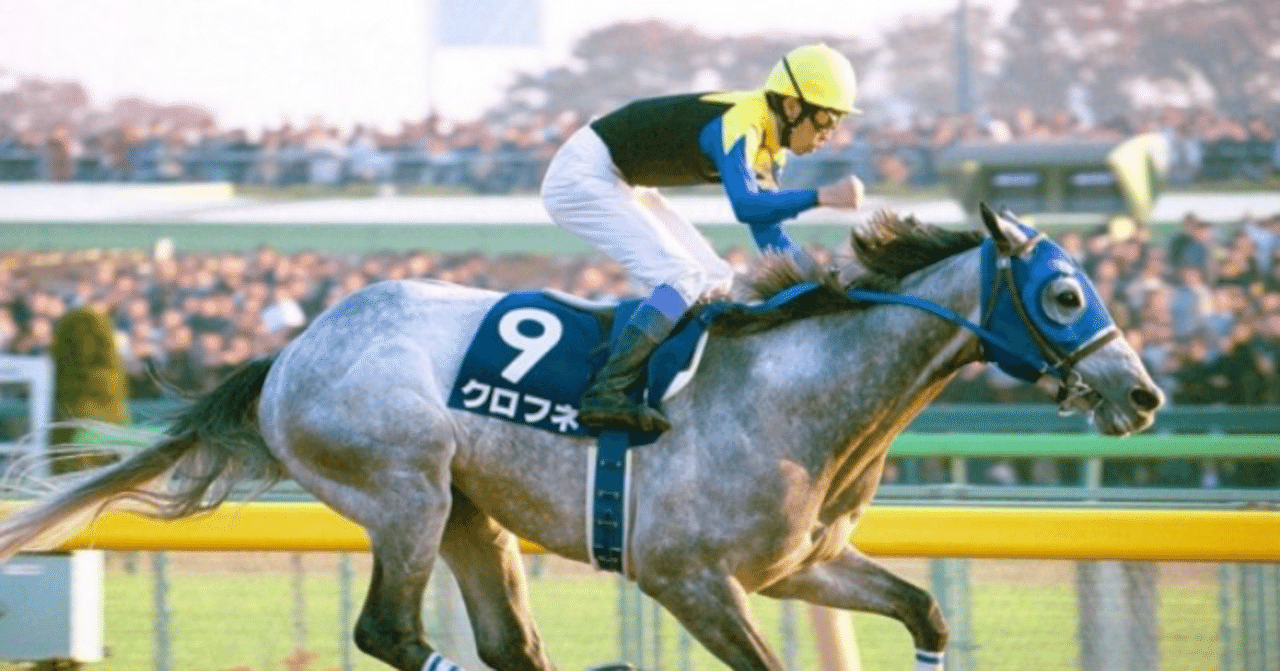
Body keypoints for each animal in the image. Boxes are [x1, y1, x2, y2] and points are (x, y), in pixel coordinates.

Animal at [0, 204, 1162, 671]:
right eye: (1065, 293)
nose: (1143, 393)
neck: (800, 389)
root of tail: (291, 350)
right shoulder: (686, 578)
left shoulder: (800, 563)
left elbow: (924, 606)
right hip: (405, 492)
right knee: (389, 631)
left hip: (473, 516)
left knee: (508, 642)